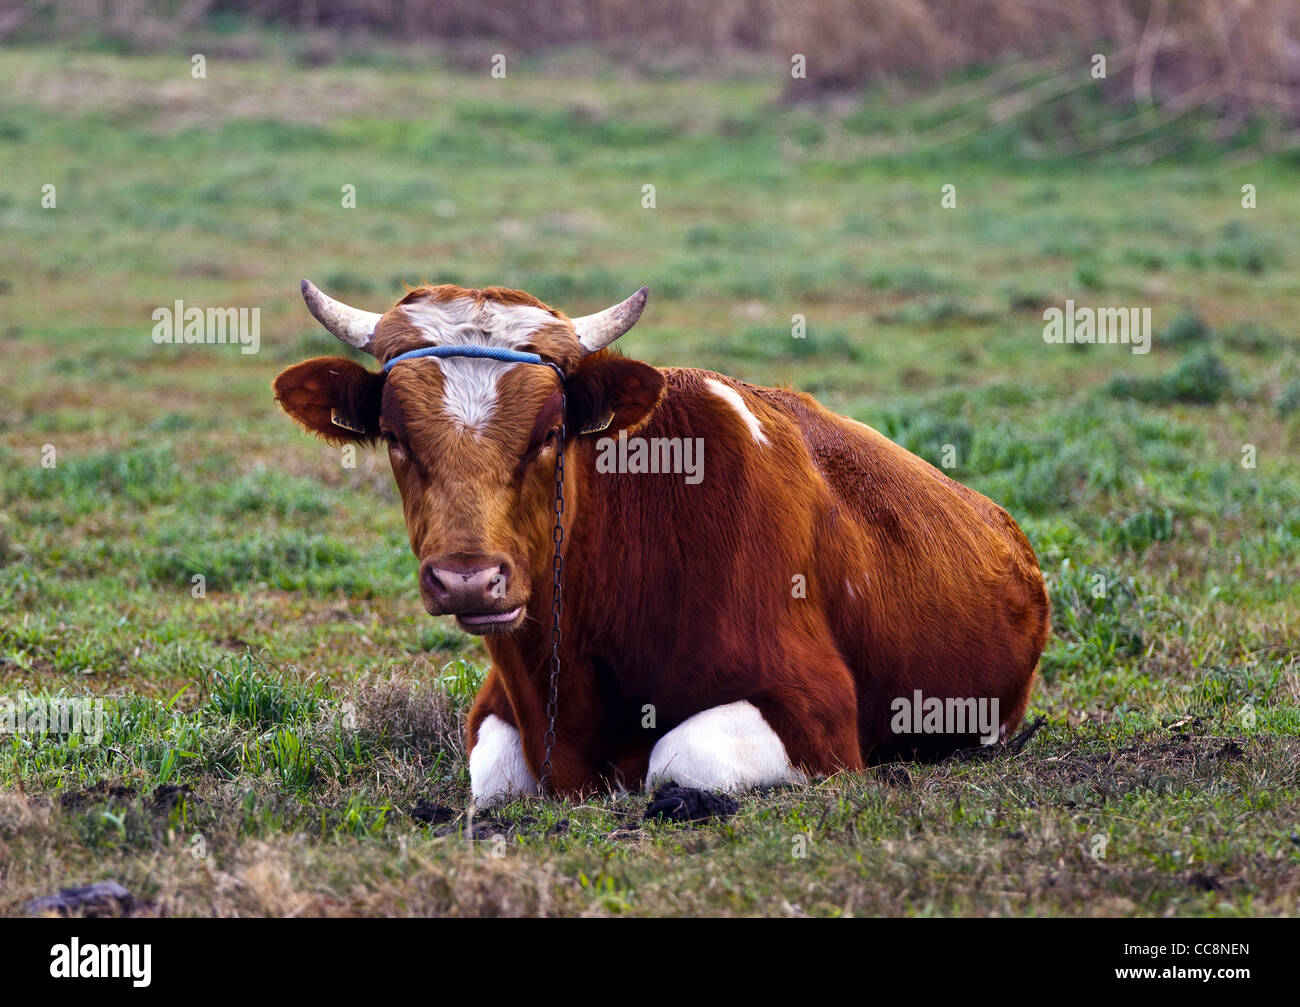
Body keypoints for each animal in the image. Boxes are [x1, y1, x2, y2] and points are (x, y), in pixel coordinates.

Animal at [274, 280, 1050, 805]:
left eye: (550, 433)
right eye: (394, 436)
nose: (468, 577)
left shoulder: (819, 712)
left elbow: (676, 756)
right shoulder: (497, 708)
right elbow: (497, 772)